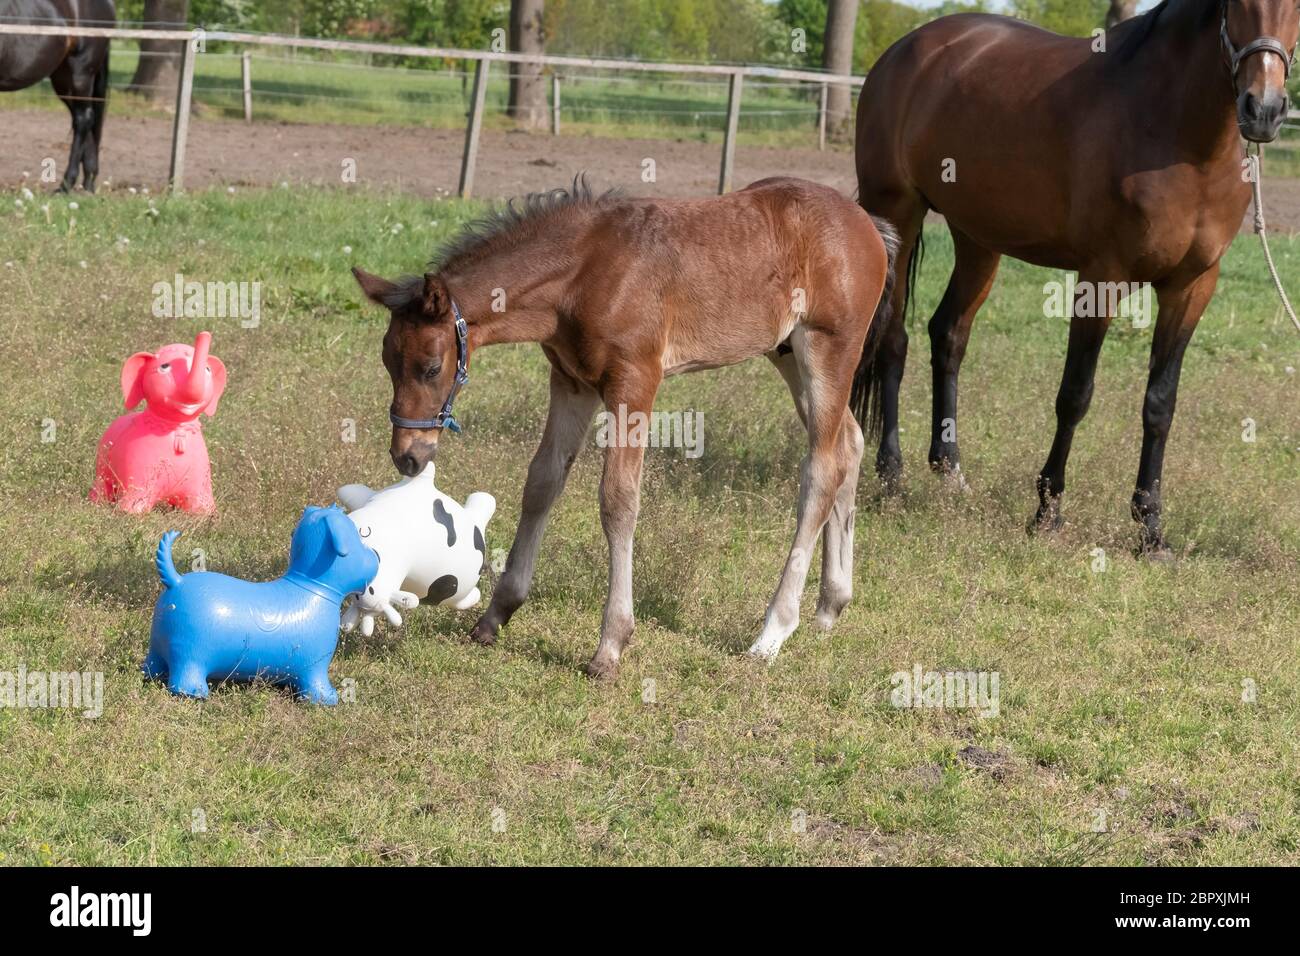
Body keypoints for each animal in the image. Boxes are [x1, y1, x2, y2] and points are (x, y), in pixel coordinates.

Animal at [0, 1, 115, 192]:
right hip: (64, 81)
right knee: (84, 120)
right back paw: (88, 183)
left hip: (81, 73)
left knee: (83, 119)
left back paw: (66, 185)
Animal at [353, 177, 898, 678]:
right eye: (386, 361)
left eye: (430, 367)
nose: (408, 454)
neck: (584, 271)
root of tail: (869, 224)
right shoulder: (571, 382)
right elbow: (542, 482)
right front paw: (496, 615)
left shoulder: (635, 381)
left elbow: (618, 500)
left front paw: (610, 645)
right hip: (785, 354)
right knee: (849, 443)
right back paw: (830, 605)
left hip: (829, 348)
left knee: (821, 470)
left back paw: (772, 632)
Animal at [855, 0, 1298, 556]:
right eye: (1237, 5)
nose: (1264, 109)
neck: (1178, 136)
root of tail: (904, 51)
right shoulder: (1101, 276)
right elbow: (1075, 395)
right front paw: (1048, 512)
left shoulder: (1193, 287)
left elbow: (1160, 404)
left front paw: (1151, 530)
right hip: (897, 212)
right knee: (893, 341)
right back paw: (891, 477)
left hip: (977, 237)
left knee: (949, 335)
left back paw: (951, 472)